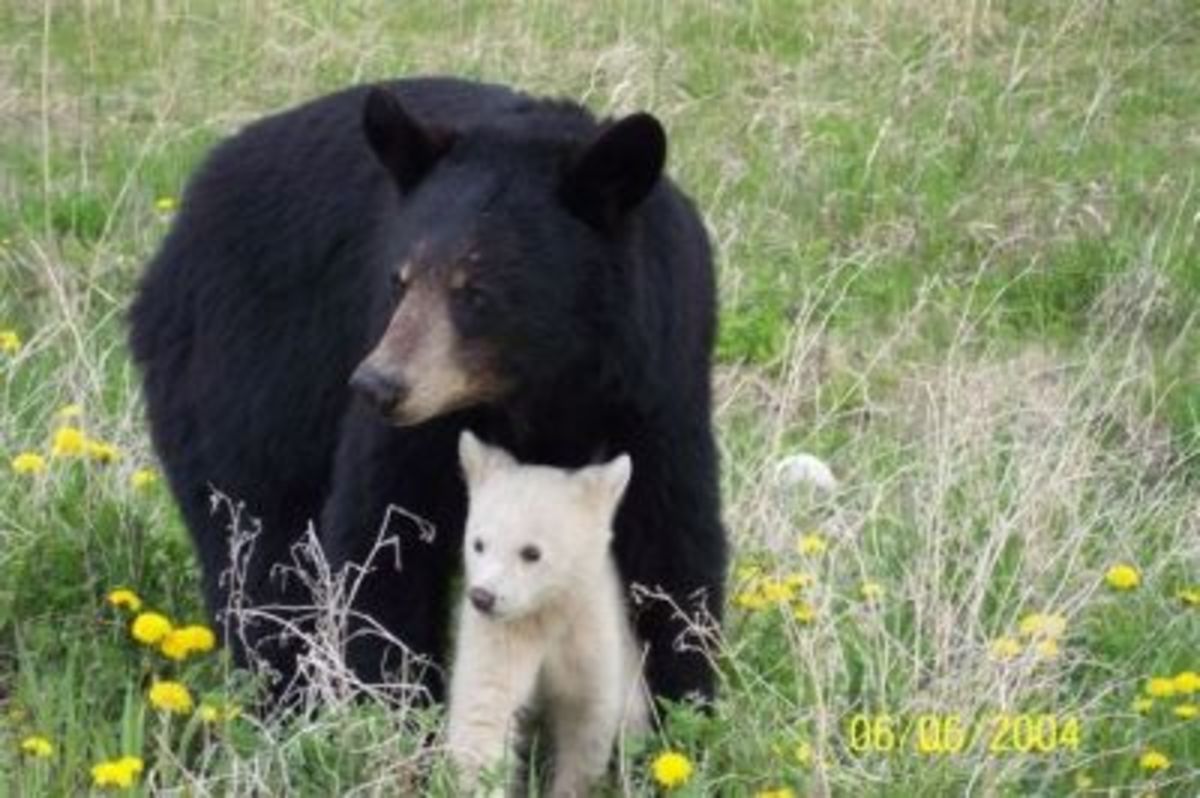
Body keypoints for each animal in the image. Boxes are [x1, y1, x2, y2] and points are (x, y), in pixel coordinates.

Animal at [128, 76, 726, 708]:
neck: (544, 383)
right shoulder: (418, 421)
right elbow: (385, 537)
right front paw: (391, 701)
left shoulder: (655, 384)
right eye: (400, 279)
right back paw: (284, 688)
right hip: (242, 370)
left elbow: (668, 544)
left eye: (476, 291)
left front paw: (681, 701)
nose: (377, 385)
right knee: (258, 541)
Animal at [446, 431, 647, 797]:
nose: (483, 597)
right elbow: (485, 709)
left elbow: (586, 717)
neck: (544, 610)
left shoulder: (587, 626)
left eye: (531, 552)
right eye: (478, 543)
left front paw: (571, 787)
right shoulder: (502, 632)